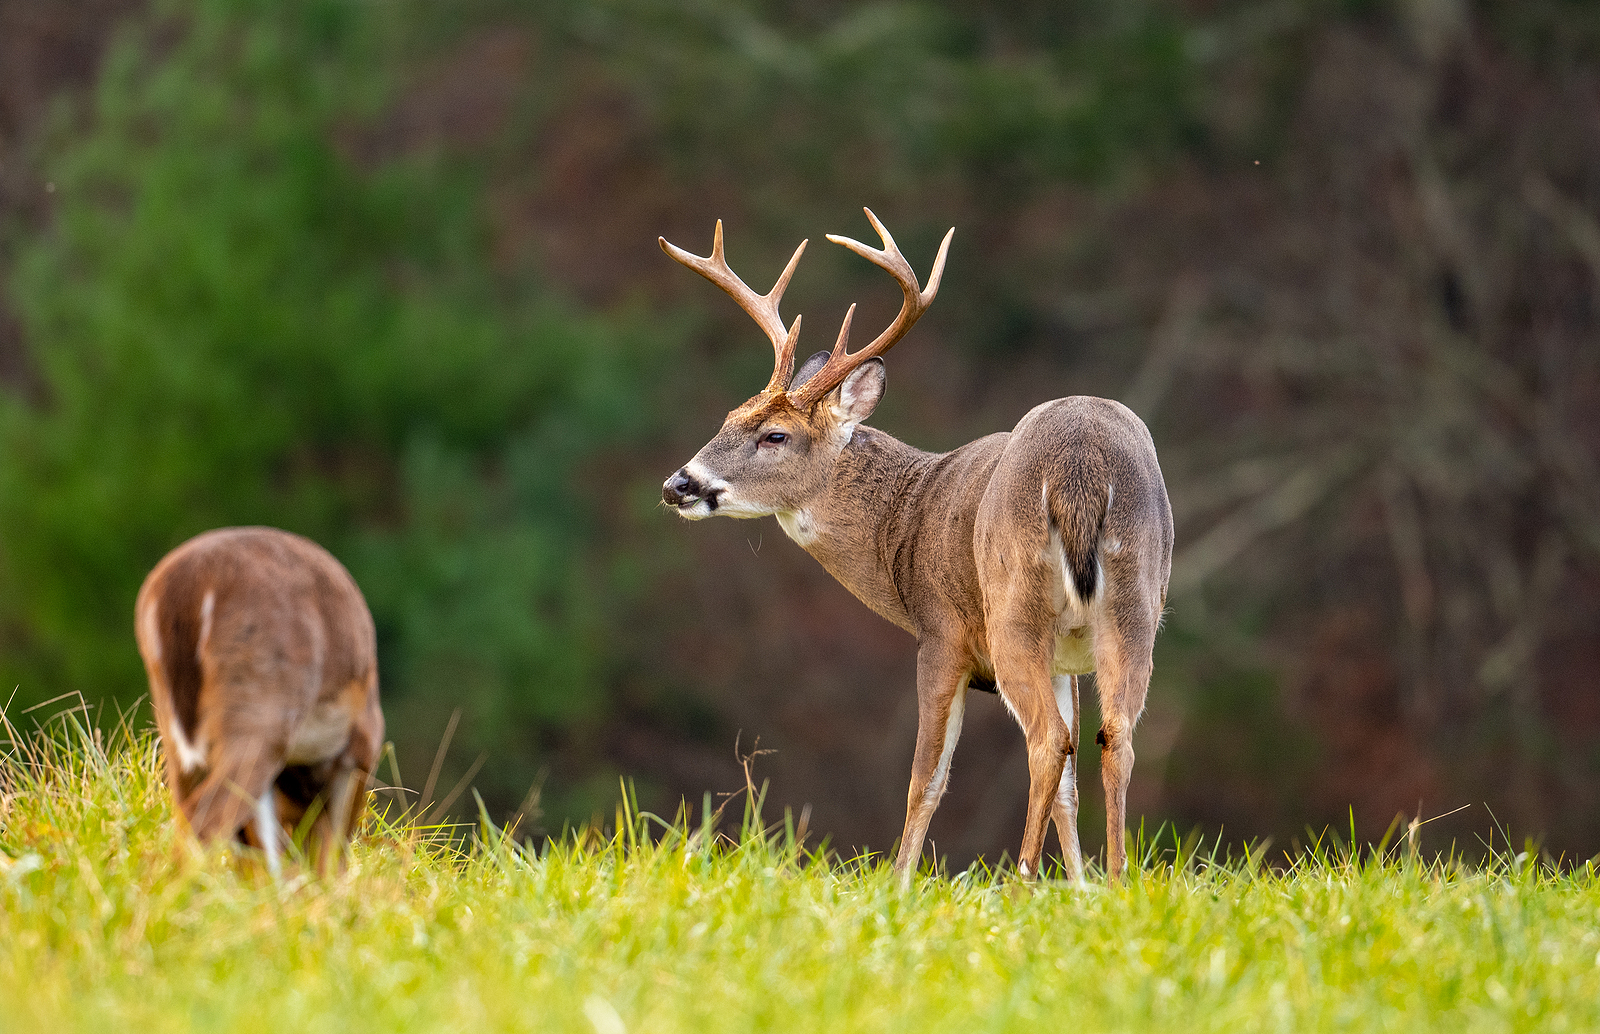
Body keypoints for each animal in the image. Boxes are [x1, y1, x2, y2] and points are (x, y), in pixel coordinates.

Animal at [134, 526, 384, 879]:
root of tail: (188, 587)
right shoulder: (362, 742)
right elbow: (330, 844)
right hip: (260, 708)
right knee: (207, 820)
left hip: (176, 728)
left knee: (192, 816)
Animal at [660, 210, 1173, 884]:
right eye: (727, 419)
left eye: (775, 435)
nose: (678, 484)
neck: (905, 522)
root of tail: (1080, 467)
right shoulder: (1066, 656)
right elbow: (1069, 789)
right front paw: (1081, 887)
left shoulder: (942, 633)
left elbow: (924, 779)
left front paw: (899, 882)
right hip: (1135, 603)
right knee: (1114, 737)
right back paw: (1115, 880)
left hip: (1013, 605)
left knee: (1047, 741)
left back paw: (1021, 881)